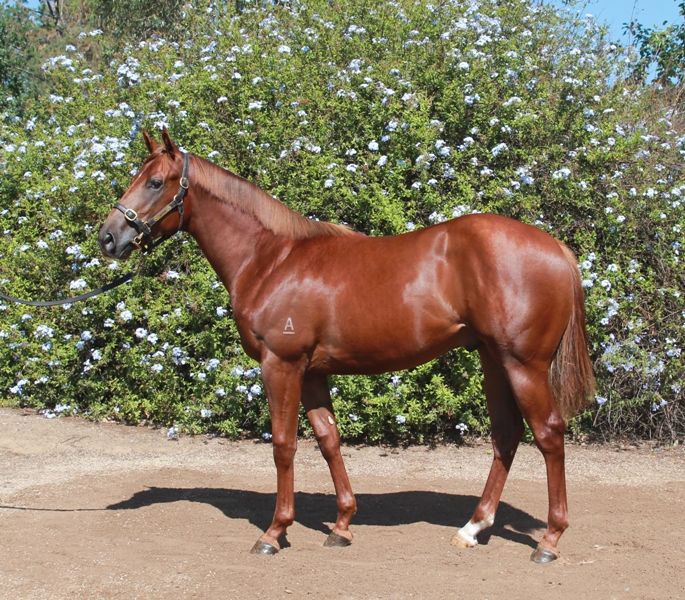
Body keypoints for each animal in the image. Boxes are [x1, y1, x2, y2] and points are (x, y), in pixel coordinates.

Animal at [99, 129, 595, 563]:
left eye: (155, 182)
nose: (109, 237)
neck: (271, 259)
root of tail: (557, 248)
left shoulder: (281, 364)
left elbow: (284, 444)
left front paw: (274, 532)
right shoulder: (313, 371)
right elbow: (328, 440)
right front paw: (341, 526)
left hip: (522, 364)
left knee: (549, 434)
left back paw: (549, 540)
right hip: (493, 360)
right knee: (506, 436)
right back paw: (472, 528)